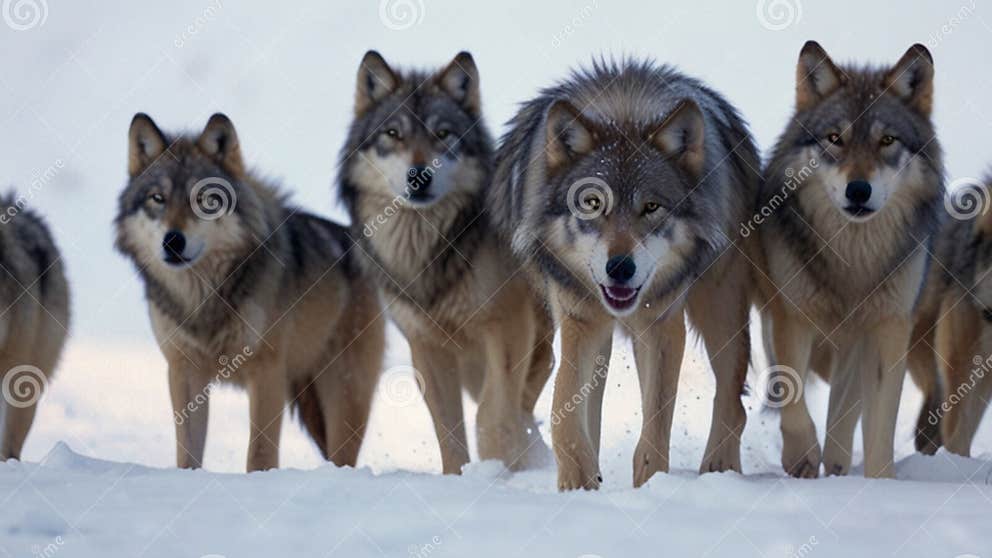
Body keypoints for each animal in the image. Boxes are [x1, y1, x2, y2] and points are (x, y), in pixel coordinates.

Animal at [116, 113, 384, 472]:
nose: (172, 241)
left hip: (343, 395)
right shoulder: (183, 370)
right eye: (157, 199)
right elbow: (187, 452)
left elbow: (259, 451)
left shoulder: (265, 369)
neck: (205, 298)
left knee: (344, 457)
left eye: (204, 199)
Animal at [338, 51, 554, 474]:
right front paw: (461, 476)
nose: (419, 176)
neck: (429, 253)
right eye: (393, 134)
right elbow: (448, 430)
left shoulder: (507, 326)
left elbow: (492, 412)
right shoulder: (426, 345)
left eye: (443, 134)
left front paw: (500, 463)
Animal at [489, 59, 762, 490]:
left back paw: (719, 470)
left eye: (651, 207)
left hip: (720, 309)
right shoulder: (579, 320)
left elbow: (656, 423)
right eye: (591, 203)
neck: (624, 113)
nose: (620, 267)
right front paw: (578, 482)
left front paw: (650, 483)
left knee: (733, 400)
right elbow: (564, 408)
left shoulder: (662, 323)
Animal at [757, 41, 943, 478]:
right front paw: (801, 456)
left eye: (887, 140)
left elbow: (880, 427)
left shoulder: (888, 330)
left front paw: (880, 483)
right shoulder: (792, 318)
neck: (852, 263)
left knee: (844, 422)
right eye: (834, 138)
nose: (859, 190)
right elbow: (794, 401)